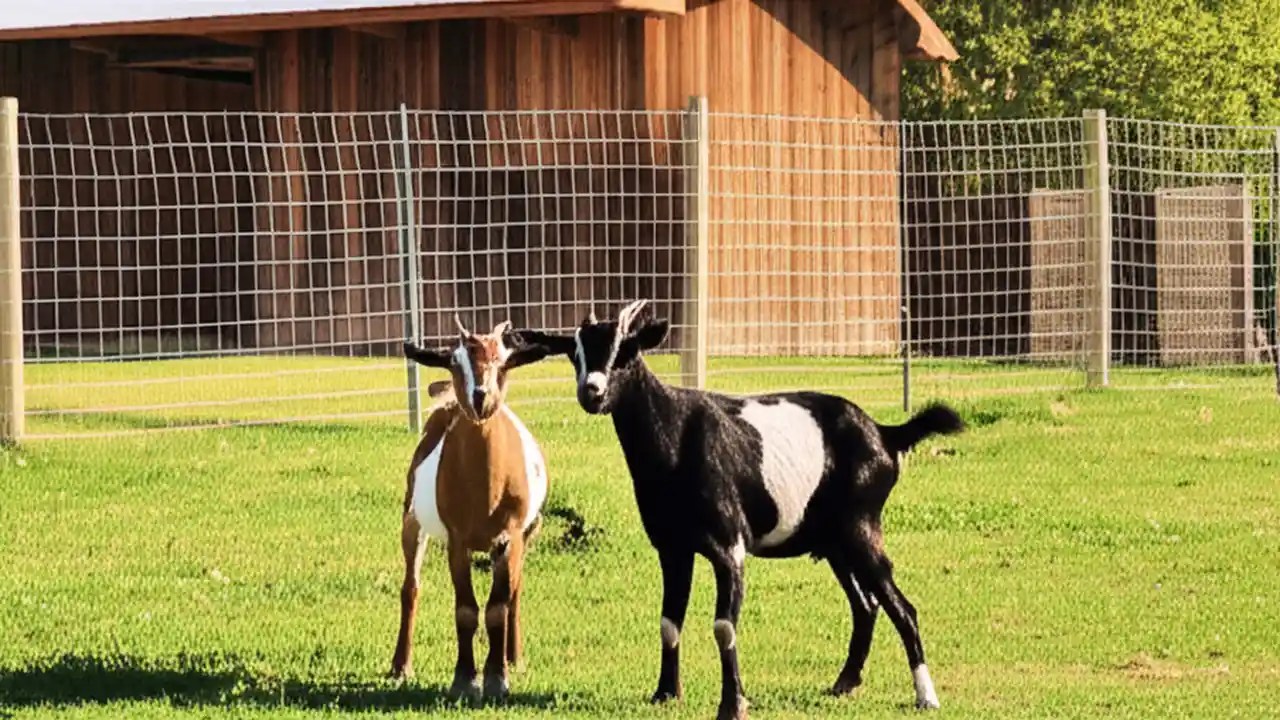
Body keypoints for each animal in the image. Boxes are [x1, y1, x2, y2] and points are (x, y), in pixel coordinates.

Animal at [389, 318, 556, 701]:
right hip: (412, 521)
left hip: (526, 534)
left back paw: (514, 658)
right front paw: (465, 679)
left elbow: (498, 607)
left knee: (515, 593)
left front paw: (497, 678)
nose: (481, 396)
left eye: (503, 362)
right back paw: (400, 667)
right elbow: (466, 610)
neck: (486, 492)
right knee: (411, 587)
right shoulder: (457, 540)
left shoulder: (511, 536)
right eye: (455, 362)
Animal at [513, 301, 965, 720]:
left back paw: (926, 697)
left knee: (901, 607)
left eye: (627, 351)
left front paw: (733, 704)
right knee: (865, 605)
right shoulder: (673, 548)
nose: (592, 392)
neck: (675, 436)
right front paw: (665, 694)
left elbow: (724, 627)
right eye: (574, 353)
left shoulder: (729, 548)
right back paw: (845, 683)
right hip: (835, 542)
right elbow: (668, 623)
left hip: (862, 527)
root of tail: (886, 435)